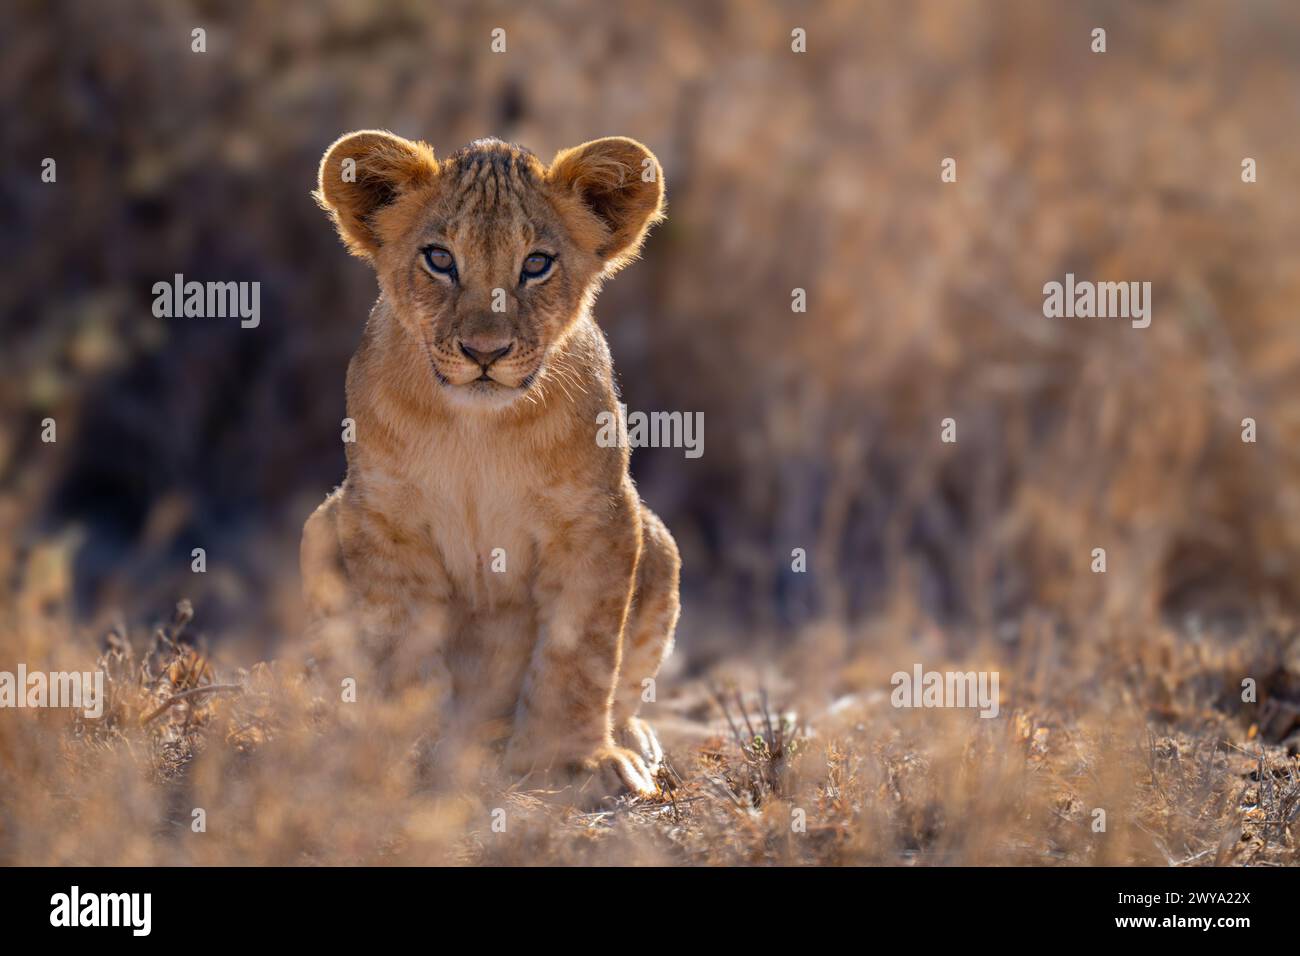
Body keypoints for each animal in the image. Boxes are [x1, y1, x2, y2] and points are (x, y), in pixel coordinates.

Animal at [300, 131, 680, 799]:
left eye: (536, 264)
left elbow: (578, 654)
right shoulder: (381, 518)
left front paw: (576, 758)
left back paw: (631, 739)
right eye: (439, 259)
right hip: (323, 524)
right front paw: (413, 749)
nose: (485, 351)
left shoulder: (600, 521)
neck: (478, 431)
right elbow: (406, 647)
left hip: (658, 543)